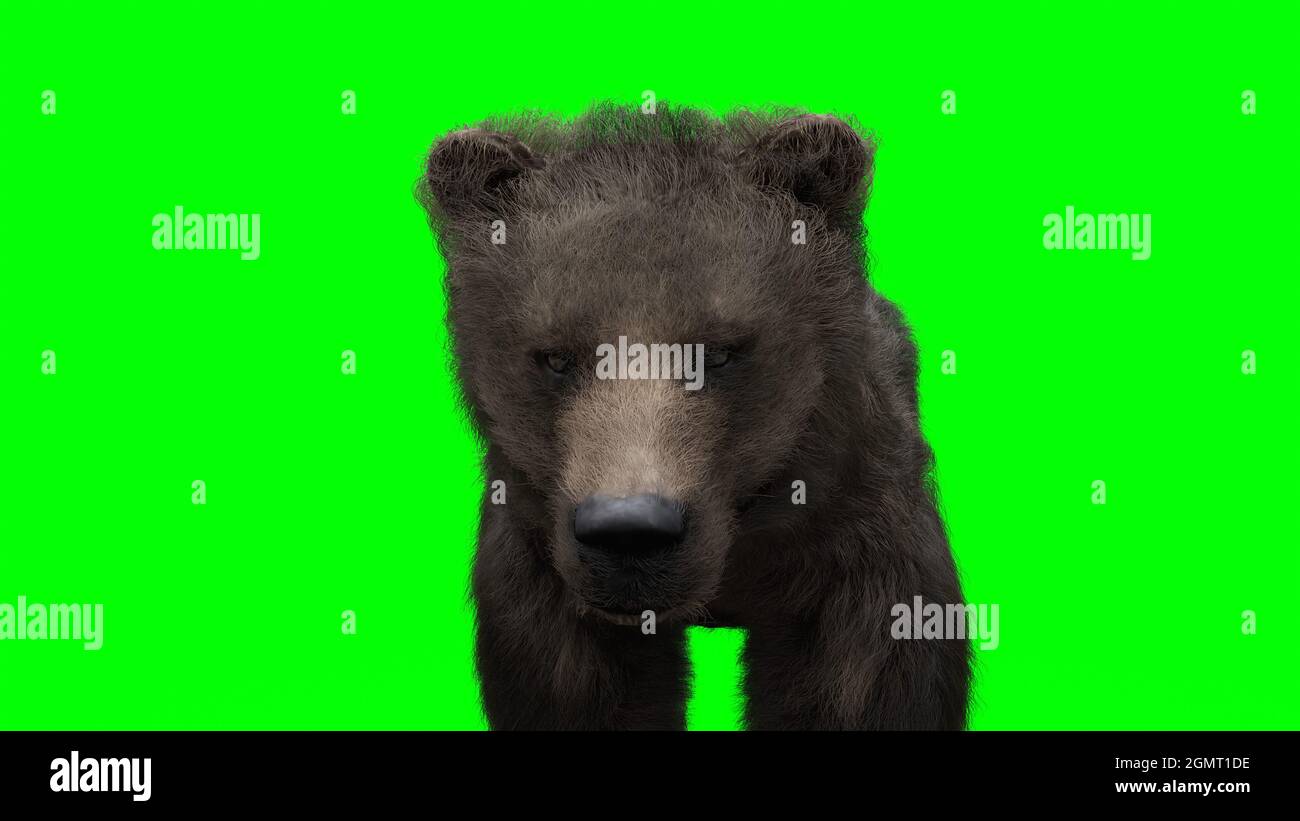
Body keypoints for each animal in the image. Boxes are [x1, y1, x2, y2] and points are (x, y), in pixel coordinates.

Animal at [419, 103, 971, 730]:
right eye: (555, 356)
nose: (630, 530)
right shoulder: (544, 570)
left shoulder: (856, 547)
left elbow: (859, 687)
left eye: (720, 351)